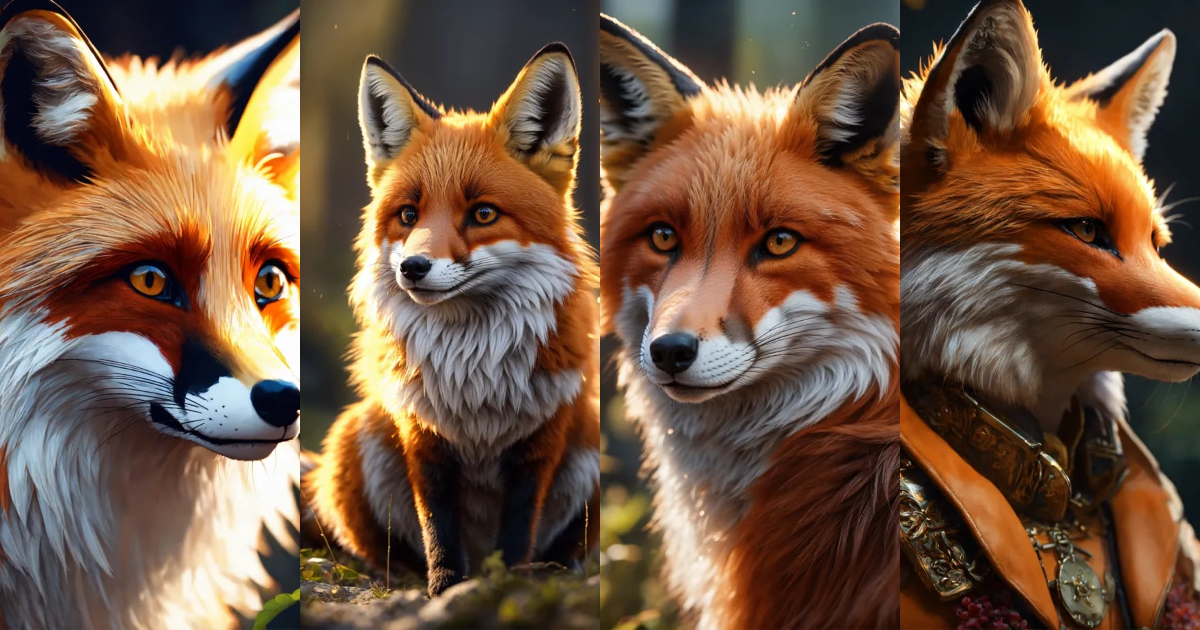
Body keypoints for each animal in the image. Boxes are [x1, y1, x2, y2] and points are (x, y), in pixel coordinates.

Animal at [304, 44, 600, 597]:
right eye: (408, 215)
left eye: (483, 214)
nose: (412, 267)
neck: (472, 371)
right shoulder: (421, 431)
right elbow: (436, 526)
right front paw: (444, 589)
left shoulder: (542, 437)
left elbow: (518, 527)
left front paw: (508, 583)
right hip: (357, 434)